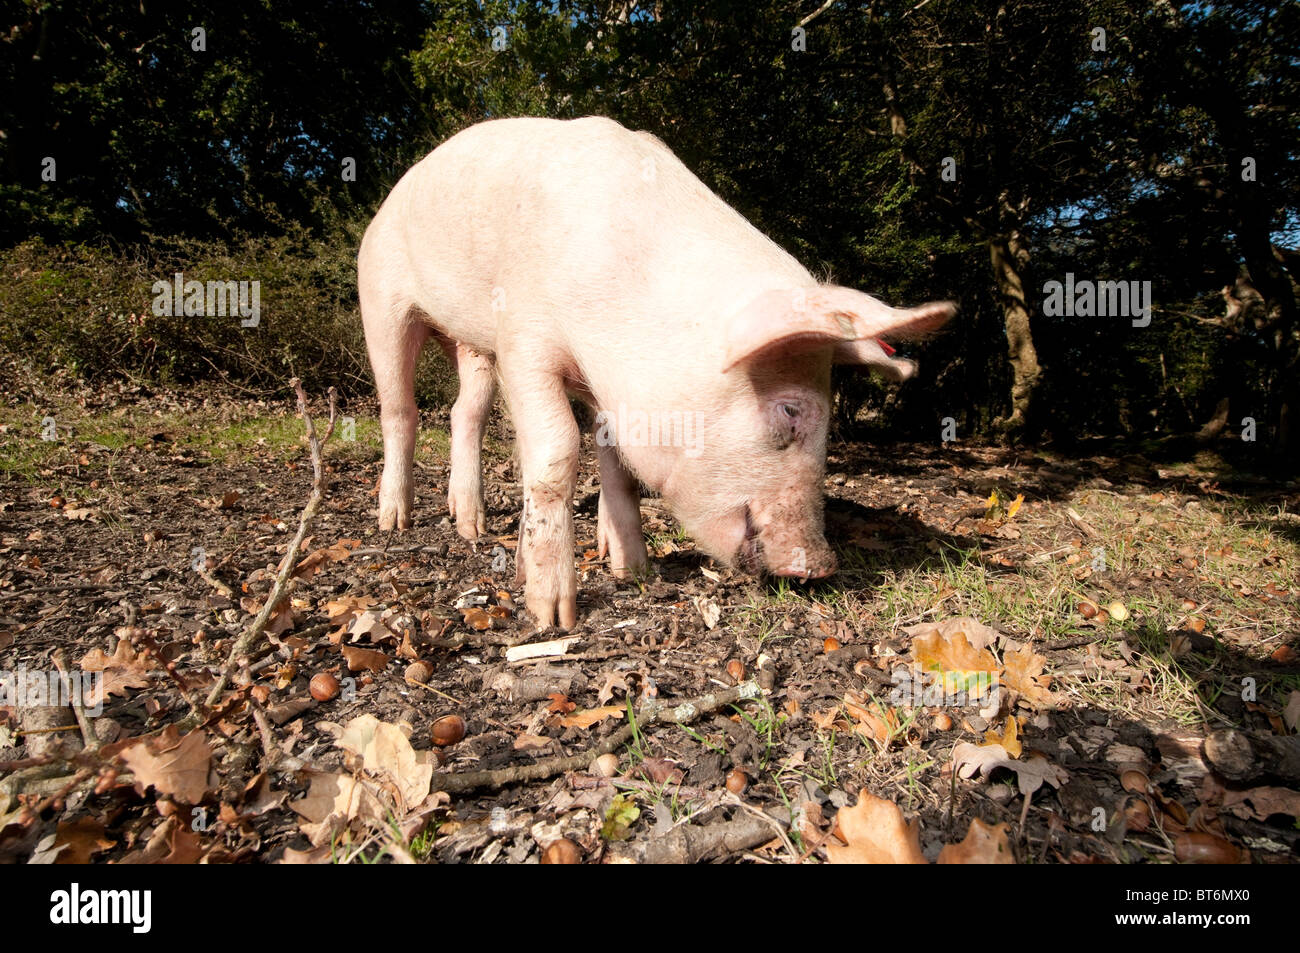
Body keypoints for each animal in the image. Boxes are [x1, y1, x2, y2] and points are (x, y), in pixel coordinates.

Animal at [358, 116, 953, 629]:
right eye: (789, 409)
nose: (822, 565)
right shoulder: (524, 339)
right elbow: (556, 450)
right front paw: (554, 617)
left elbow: (617, 466)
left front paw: (634, 571)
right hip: (381, 301)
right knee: (400, 409)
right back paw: (394, 520)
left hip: (470, 345)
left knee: (466, 411)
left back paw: (471, 526)